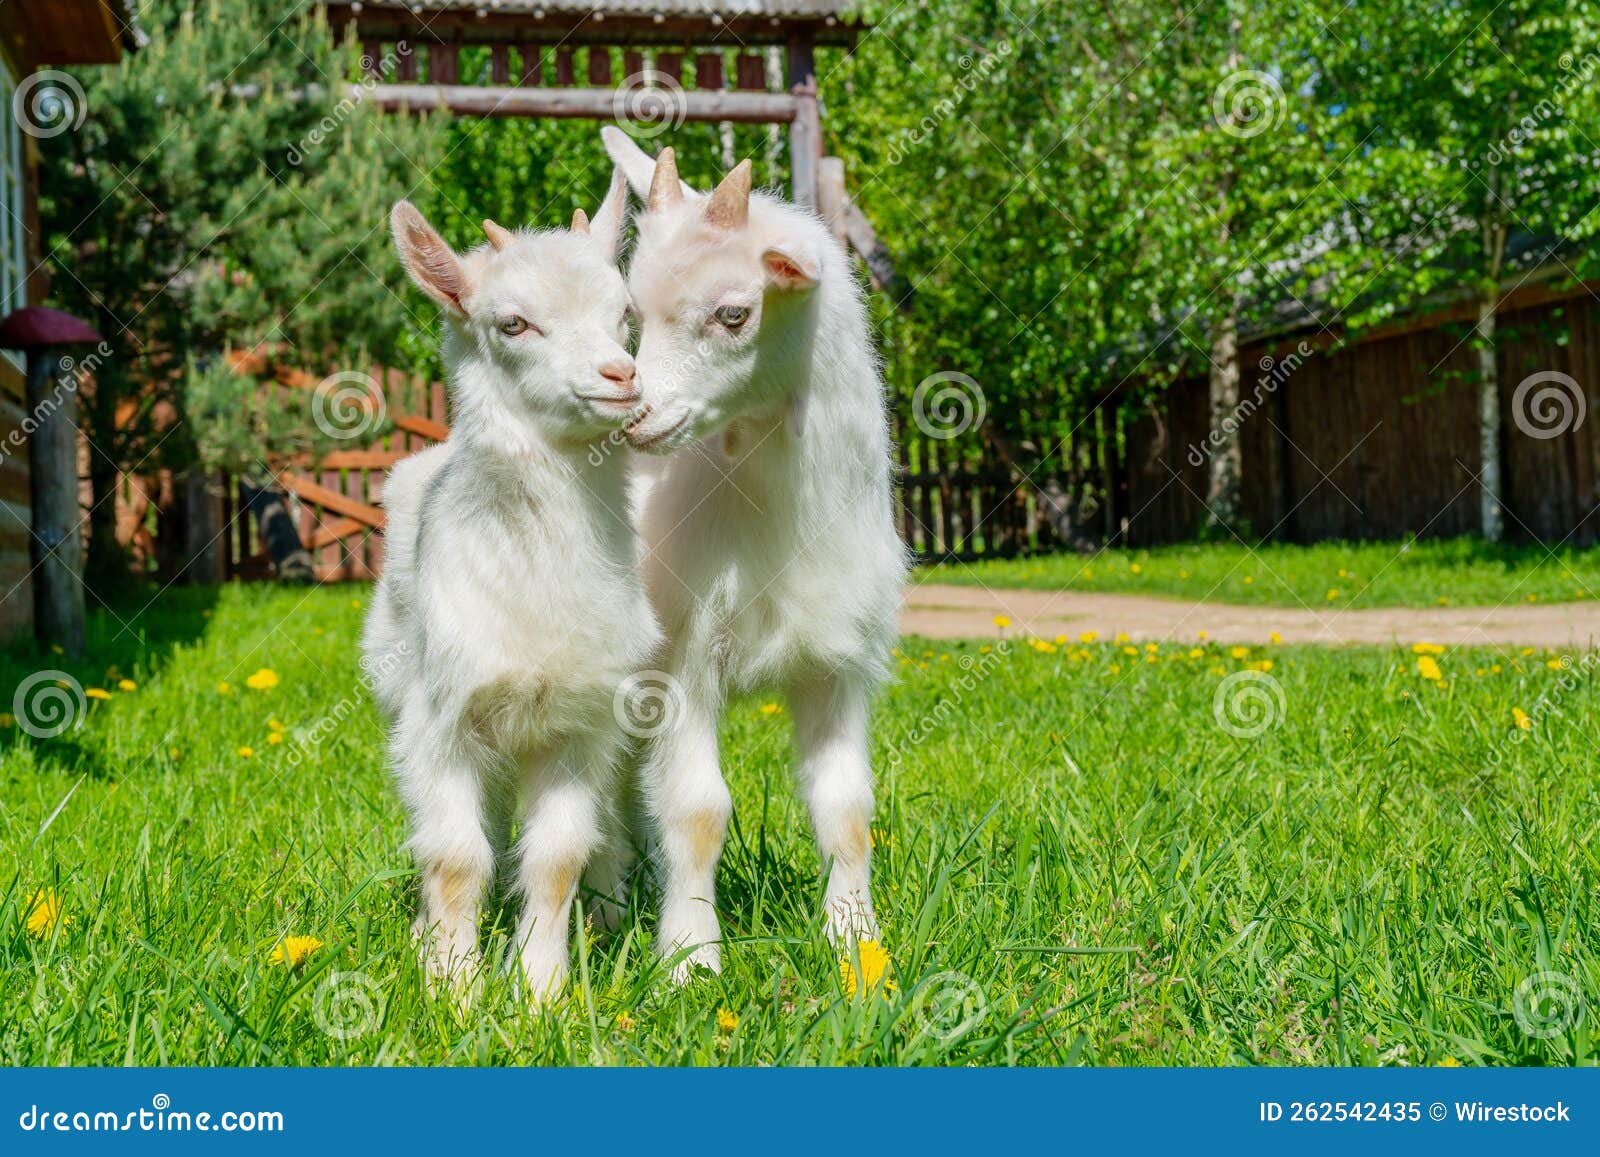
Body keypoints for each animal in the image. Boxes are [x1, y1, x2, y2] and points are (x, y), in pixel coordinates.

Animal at [361, 173, 662, 999]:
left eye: (624, 314)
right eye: (513, 323)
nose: (621, 377)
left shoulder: (580, 721)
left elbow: (557, 855)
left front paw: (540, 990)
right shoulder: (441, 715)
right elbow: (455, 856)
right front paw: (452, 988)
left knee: (609, 821)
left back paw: (608, 913)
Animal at [601, 127, 907, 980]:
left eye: (734, 313)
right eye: (636, 313)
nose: (635, 419)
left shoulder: (839, 661)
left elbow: (848, 808)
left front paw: (855, 939)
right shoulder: (681, 659)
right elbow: (698, 809)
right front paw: (690, 957)